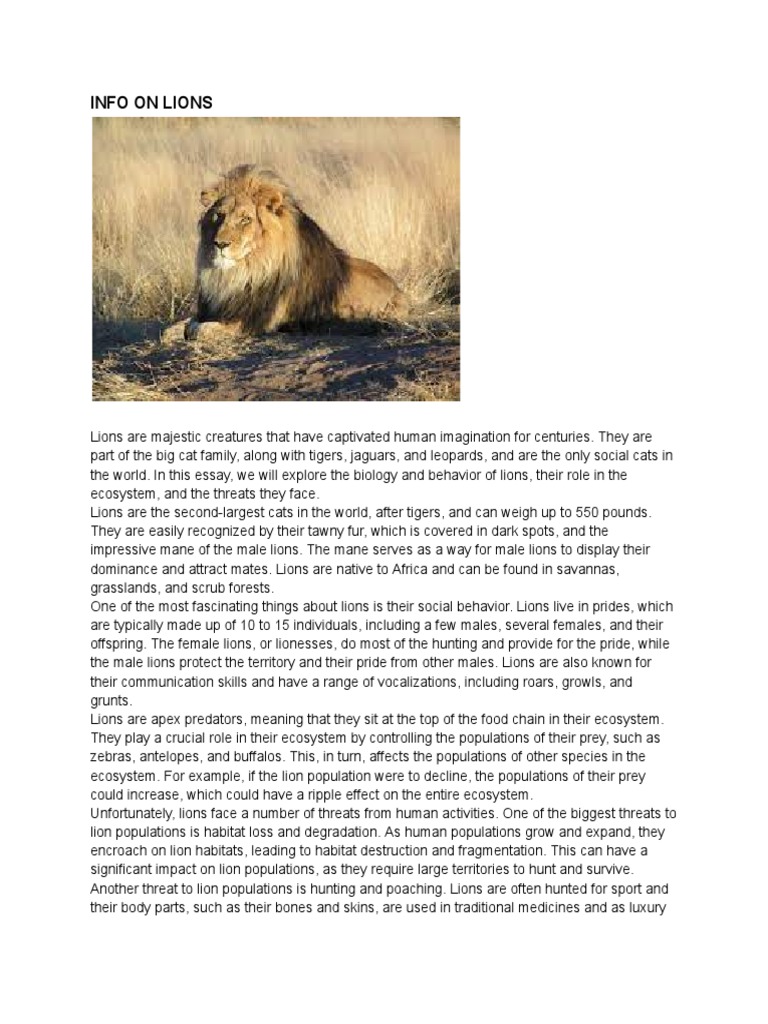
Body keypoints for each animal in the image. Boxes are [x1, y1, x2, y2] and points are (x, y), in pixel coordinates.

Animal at [185, 165, 408, 341]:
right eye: (219, 216)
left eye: (245, 219)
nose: (219, 244)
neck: (243, 271)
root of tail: (398, 290)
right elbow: (183, 325)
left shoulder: (253, 321)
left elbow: (199, 329)